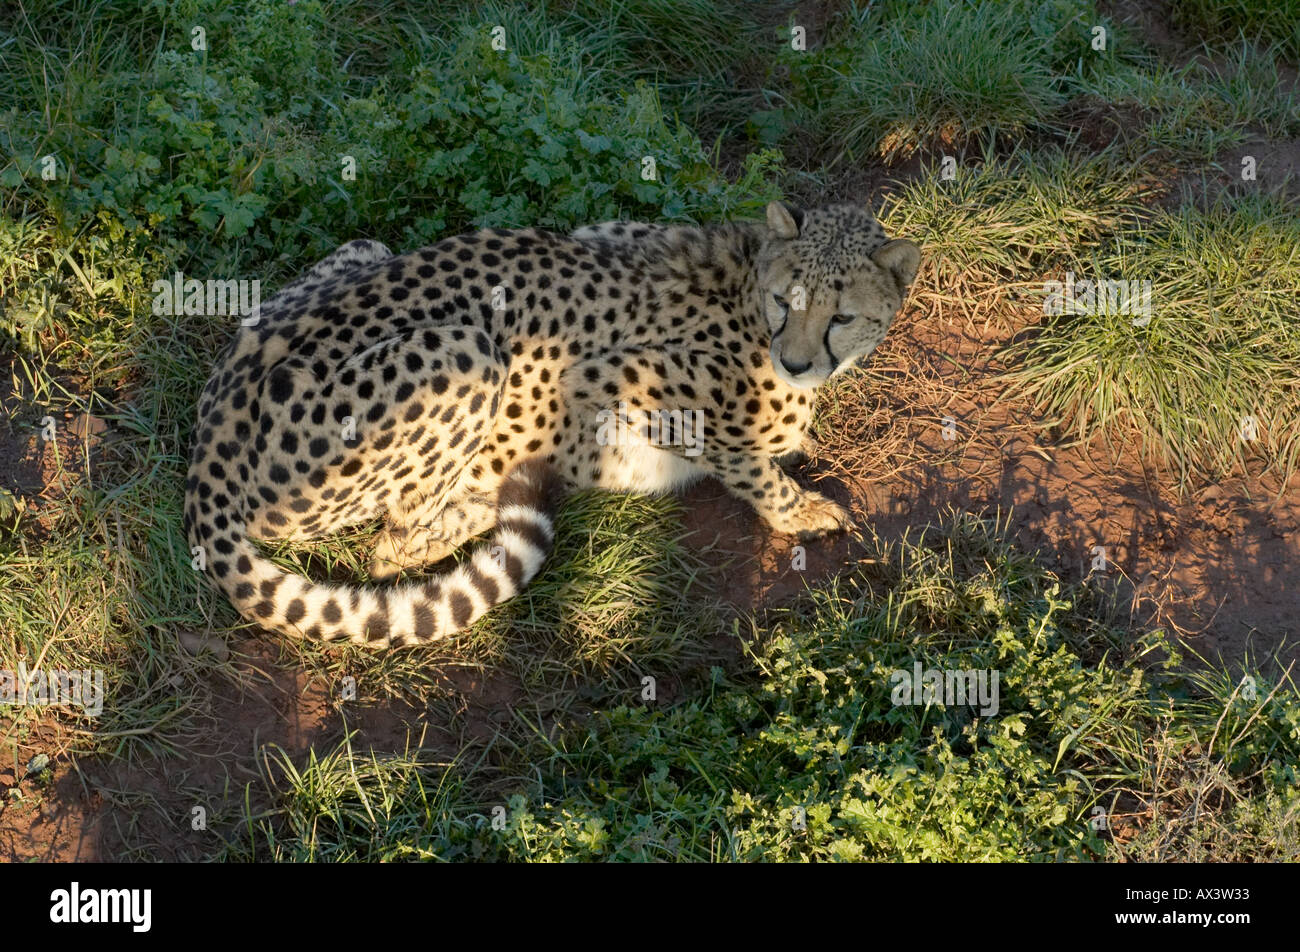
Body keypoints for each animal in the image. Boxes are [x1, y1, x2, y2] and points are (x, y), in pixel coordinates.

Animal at [183, 201, 920, 647]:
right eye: (784, 302)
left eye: (841, 315)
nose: (795, 361)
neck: (745, 288)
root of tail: (211, 443)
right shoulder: (605, 380)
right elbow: (742, 456)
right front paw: (800, 506)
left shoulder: (609, 234)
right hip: (467, 353)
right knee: (393, 542)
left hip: (363, 250)